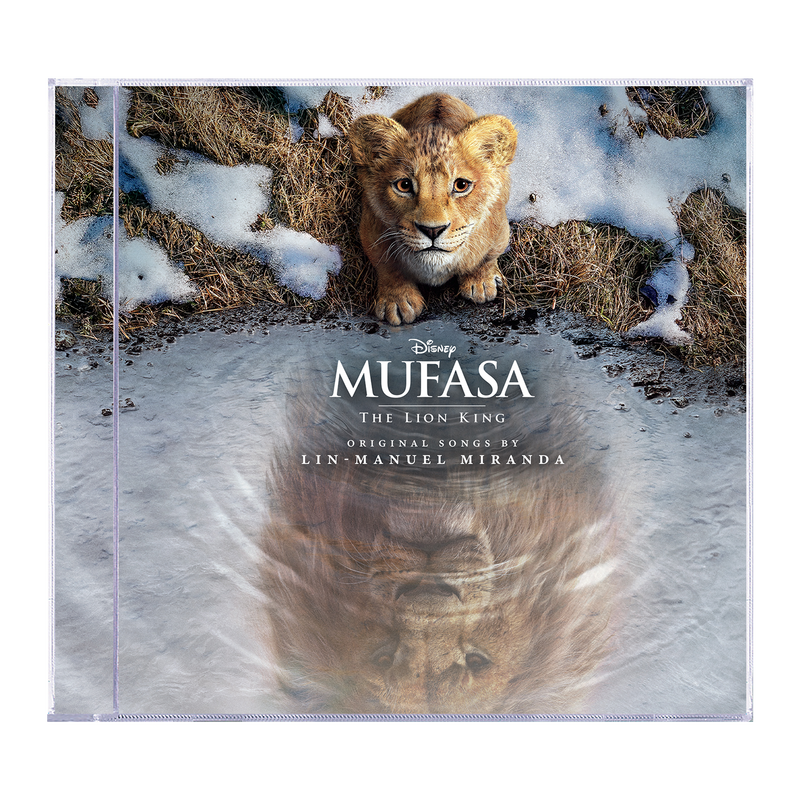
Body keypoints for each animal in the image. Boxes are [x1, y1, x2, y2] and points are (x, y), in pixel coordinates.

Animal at [348, 93, 518, 325]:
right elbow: (387, 267)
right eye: (404, 185)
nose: (432, 230)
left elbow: (486, 257)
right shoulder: (370, 230)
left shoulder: (500, 229)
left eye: (461, 185)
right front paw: (397, 302)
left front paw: (481, 283)